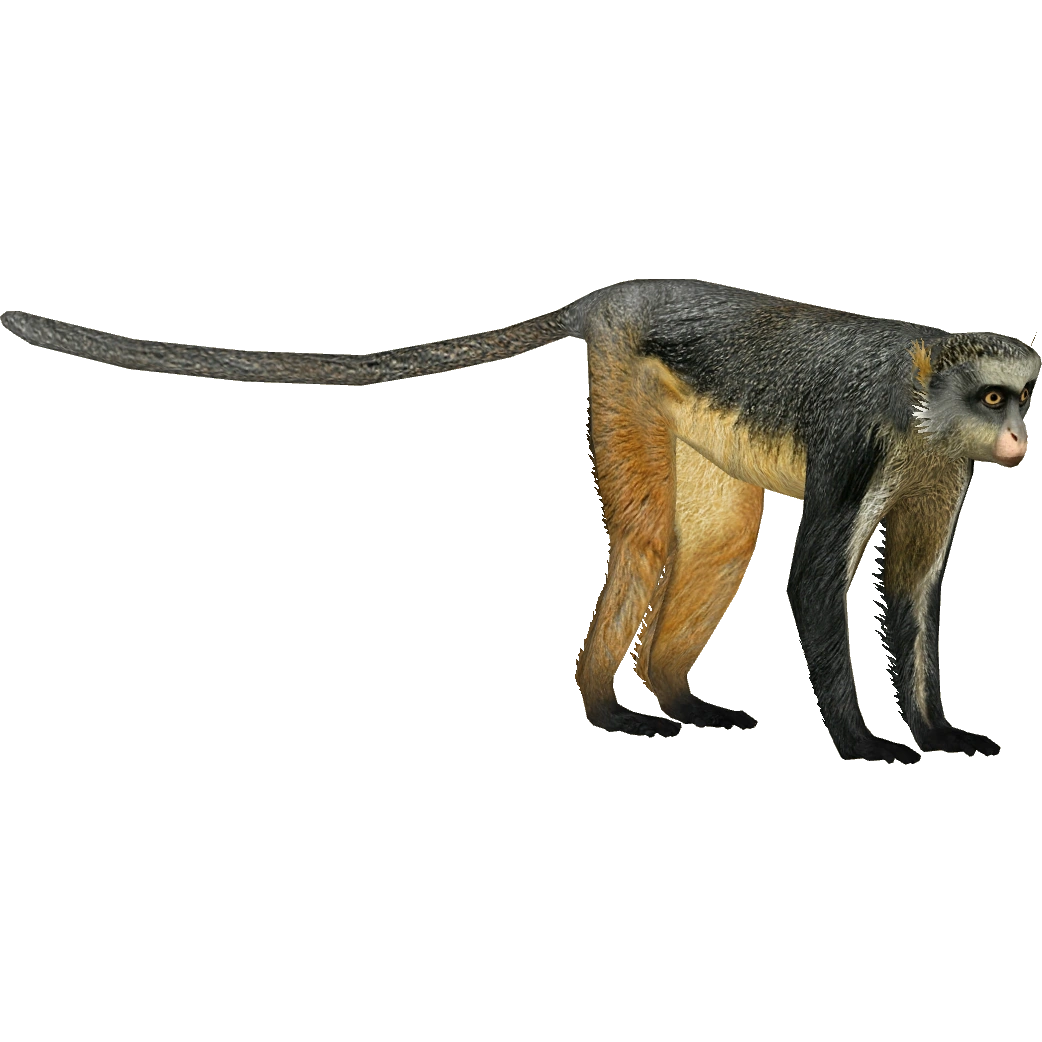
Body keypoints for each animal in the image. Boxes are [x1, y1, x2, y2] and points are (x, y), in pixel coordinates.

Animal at [2, 275, 1037, 766]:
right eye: (991, 396)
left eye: (1021, 395)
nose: (1020, 435)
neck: (921, 406)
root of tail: (619, 293)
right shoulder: (863, 440)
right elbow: (818, 579)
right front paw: (864, 743)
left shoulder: (938, 467)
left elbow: (908, 590)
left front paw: (936, 731)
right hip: (623, 375)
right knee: (652, 540)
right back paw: (611, 708)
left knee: (714, 537)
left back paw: (675, 694)